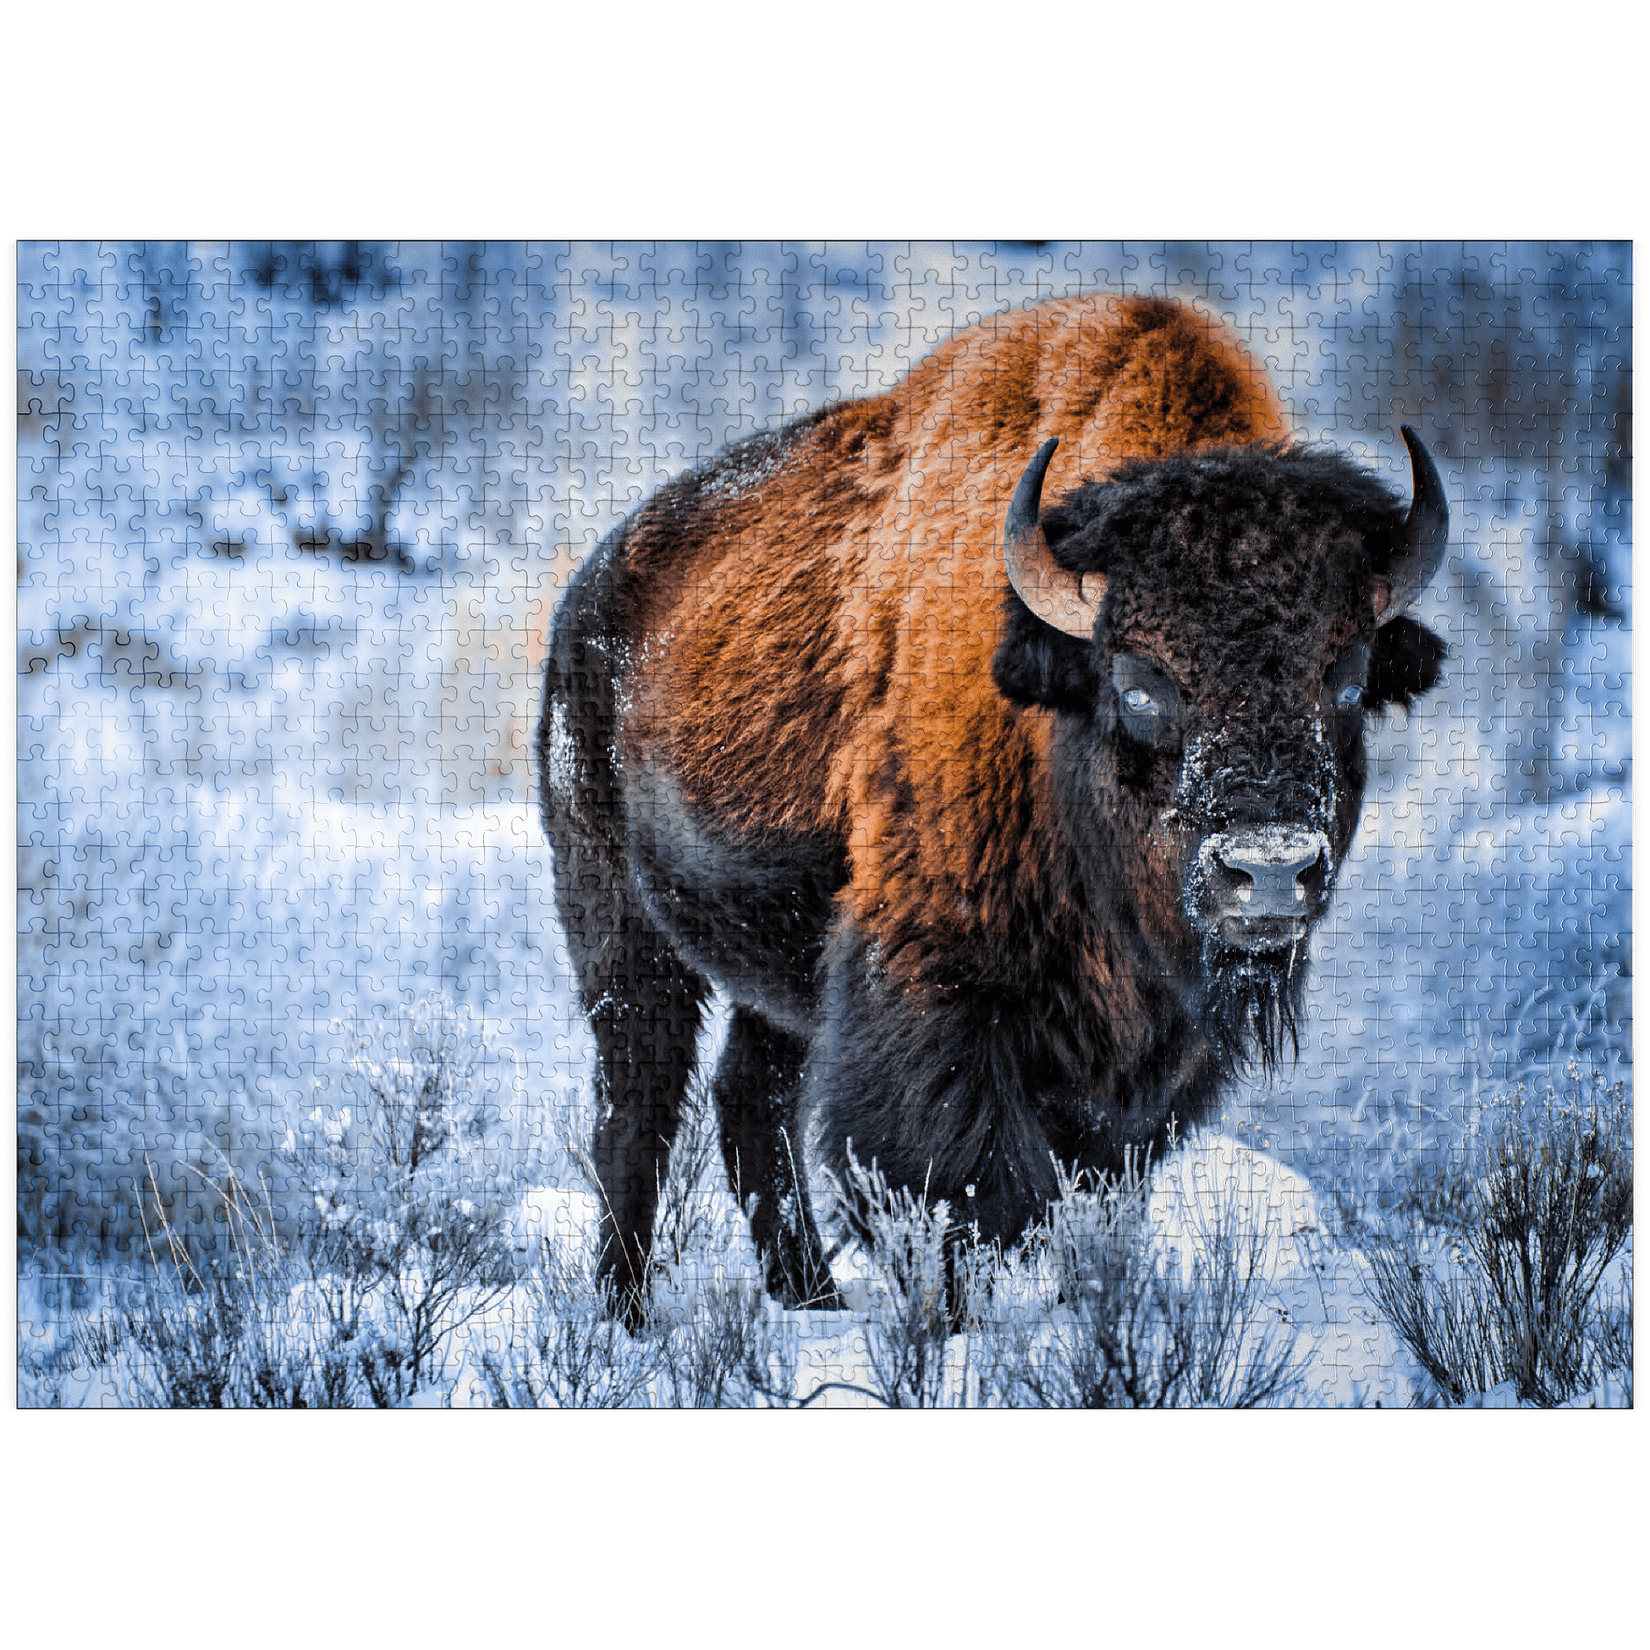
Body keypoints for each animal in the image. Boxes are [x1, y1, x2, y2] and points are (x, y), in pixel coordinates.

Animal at [538, 293, 1448, 1319]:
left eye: (1347, 680)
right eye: (1139, 684)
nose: (1270, 871)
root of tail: (588, 598)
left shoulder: (1155, 1056)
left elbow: (1093, 1179)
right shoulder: (936, 987)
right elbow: (972, 1185)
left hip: (774, 968)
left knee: (748, 1100)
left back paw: (811, 1298)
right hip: (619, 927)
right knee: (636, 1111)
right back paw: (624, 1313)